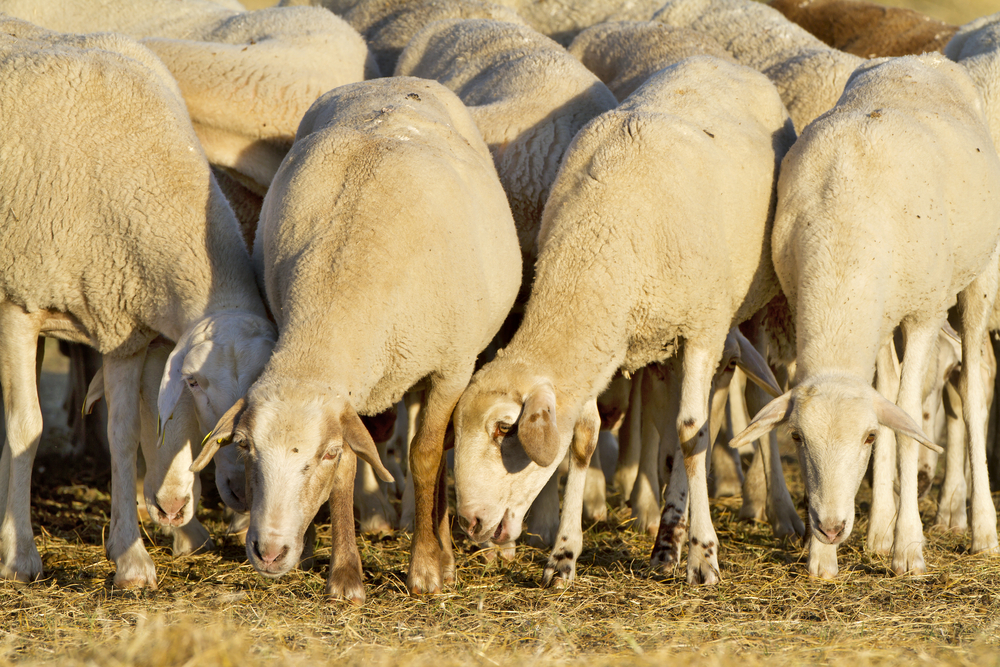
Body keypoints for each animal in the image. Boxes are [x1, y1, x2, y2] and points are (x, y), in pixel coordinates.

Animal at [0, 18, 274, 588]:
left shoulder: (121, 328)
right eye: (192, 382)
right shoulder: (18, 307)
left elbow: (122, 437)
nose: (240, 492)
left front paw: (130, 559)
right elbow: (25, 428)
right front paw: (19, 557)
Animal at [189, 77, 522, 600]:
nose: (268, 553)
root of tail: (396, 81)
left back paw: (445, 555)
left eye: (318, 456)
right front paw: (345, 574)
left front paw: (425, 568)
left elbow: (425, 457)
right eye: (245, 448)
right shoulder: (351, 385)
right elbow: (349, 468)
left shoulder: (451, 367)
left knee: (440, 451)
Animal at [452, 55, 796, 586]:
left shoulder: (701, 328)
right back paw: (665, 541)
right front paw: (563, 555)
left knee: (707, 416)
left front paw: (704, 555)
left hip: (733, 312)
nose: (469, 522)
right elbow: (585, 439)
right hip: (663, 343)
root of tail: (717, 59)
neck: (599, 242)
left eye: (504, 428)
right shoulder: (608, 343)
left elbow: (692, 432)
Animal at [731, 54, 1000, 578]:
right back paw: (878, 529)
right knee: (889, 384)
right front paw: (823, 558)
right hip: (885, 316)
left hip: (976, 279)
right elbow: (891, 401)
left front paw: (908, 548)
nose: (832, 527)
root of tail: (923, 59)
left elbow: (910, 419)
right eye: (796, 436)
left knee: (974, 387)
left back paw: (981, 530)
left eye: (868, 437)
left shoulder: (924, 313)